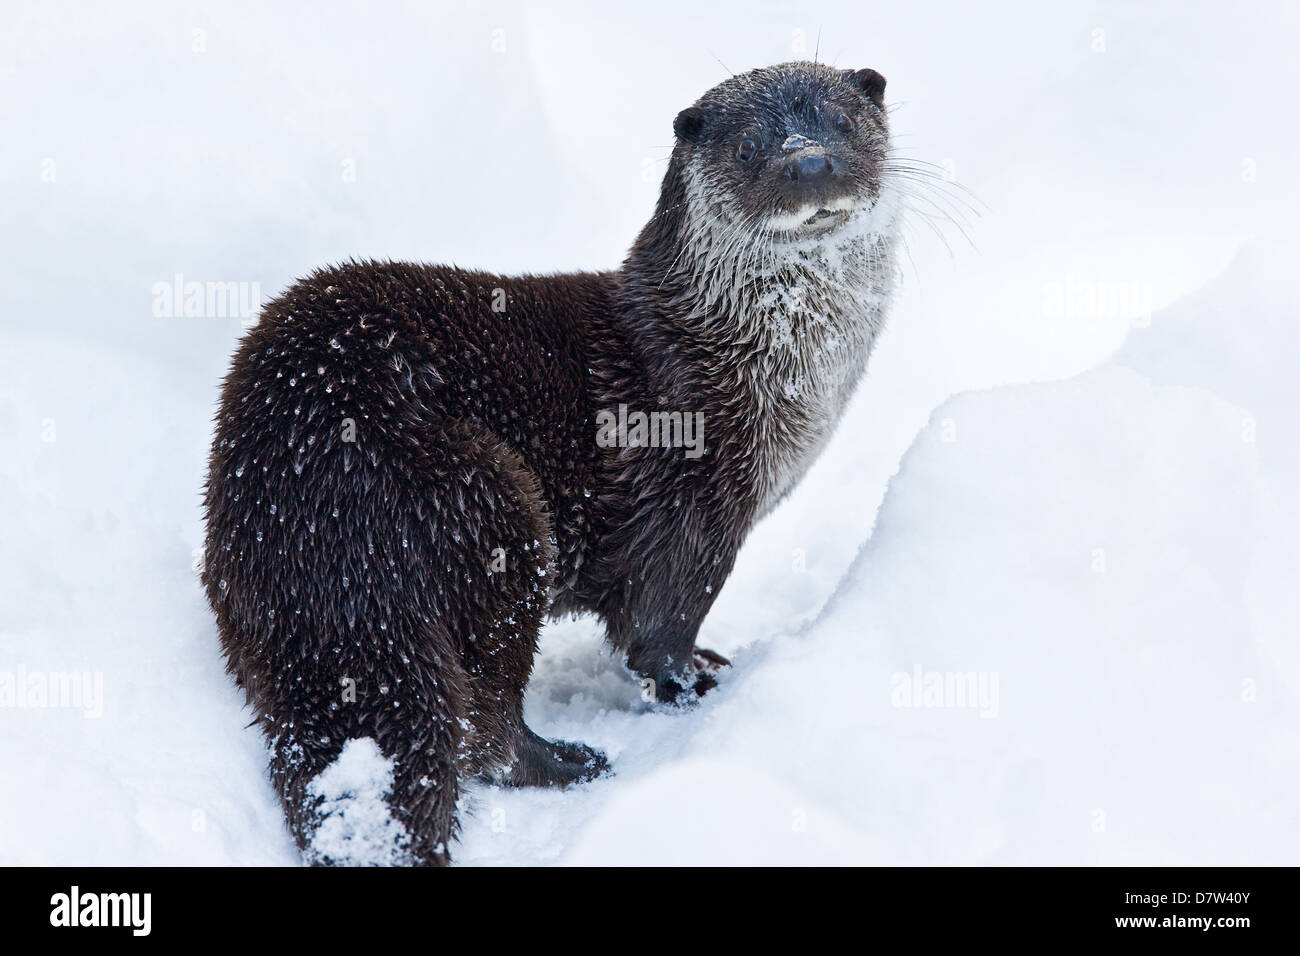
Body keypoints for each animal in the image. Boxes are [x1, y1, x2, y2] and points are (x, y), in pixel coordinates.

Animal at [202, 60, 901, 865]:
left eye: (842, 122)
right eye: (750, 146)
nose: (809, 163)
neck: (739, 365)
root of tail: (311, 497)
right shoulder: (697, 503)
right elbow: (658, 631)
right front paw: (699, 682)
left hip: (248, 584)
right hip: (485, 503)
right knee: (483, 725)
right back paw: (573, 762)